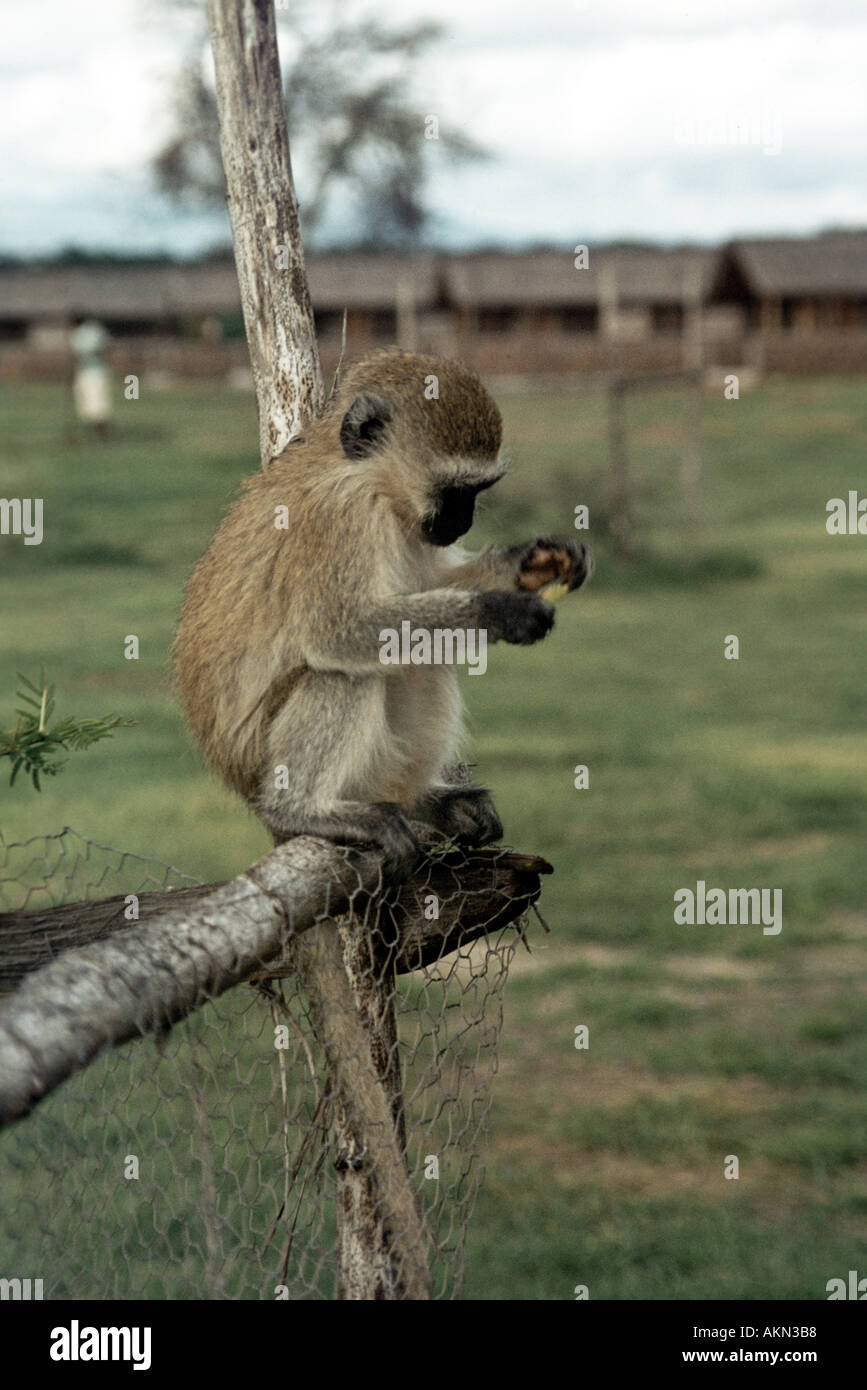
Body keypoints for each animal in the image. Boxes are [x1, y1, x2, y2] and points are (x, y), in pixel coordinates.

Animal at [174, 348, 592, 877]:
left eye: (477, 491)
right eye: (456, 491)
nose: (463, 523)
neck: (364, 477)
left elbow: (427, 588)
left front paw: (534, 562)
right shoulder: (338, 515)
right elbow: (339, 631)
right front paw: (501, 610)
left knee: (426, 658)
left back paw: (426, 803)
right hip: (263, 761)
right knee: (342, 672)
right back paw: (300, 809)